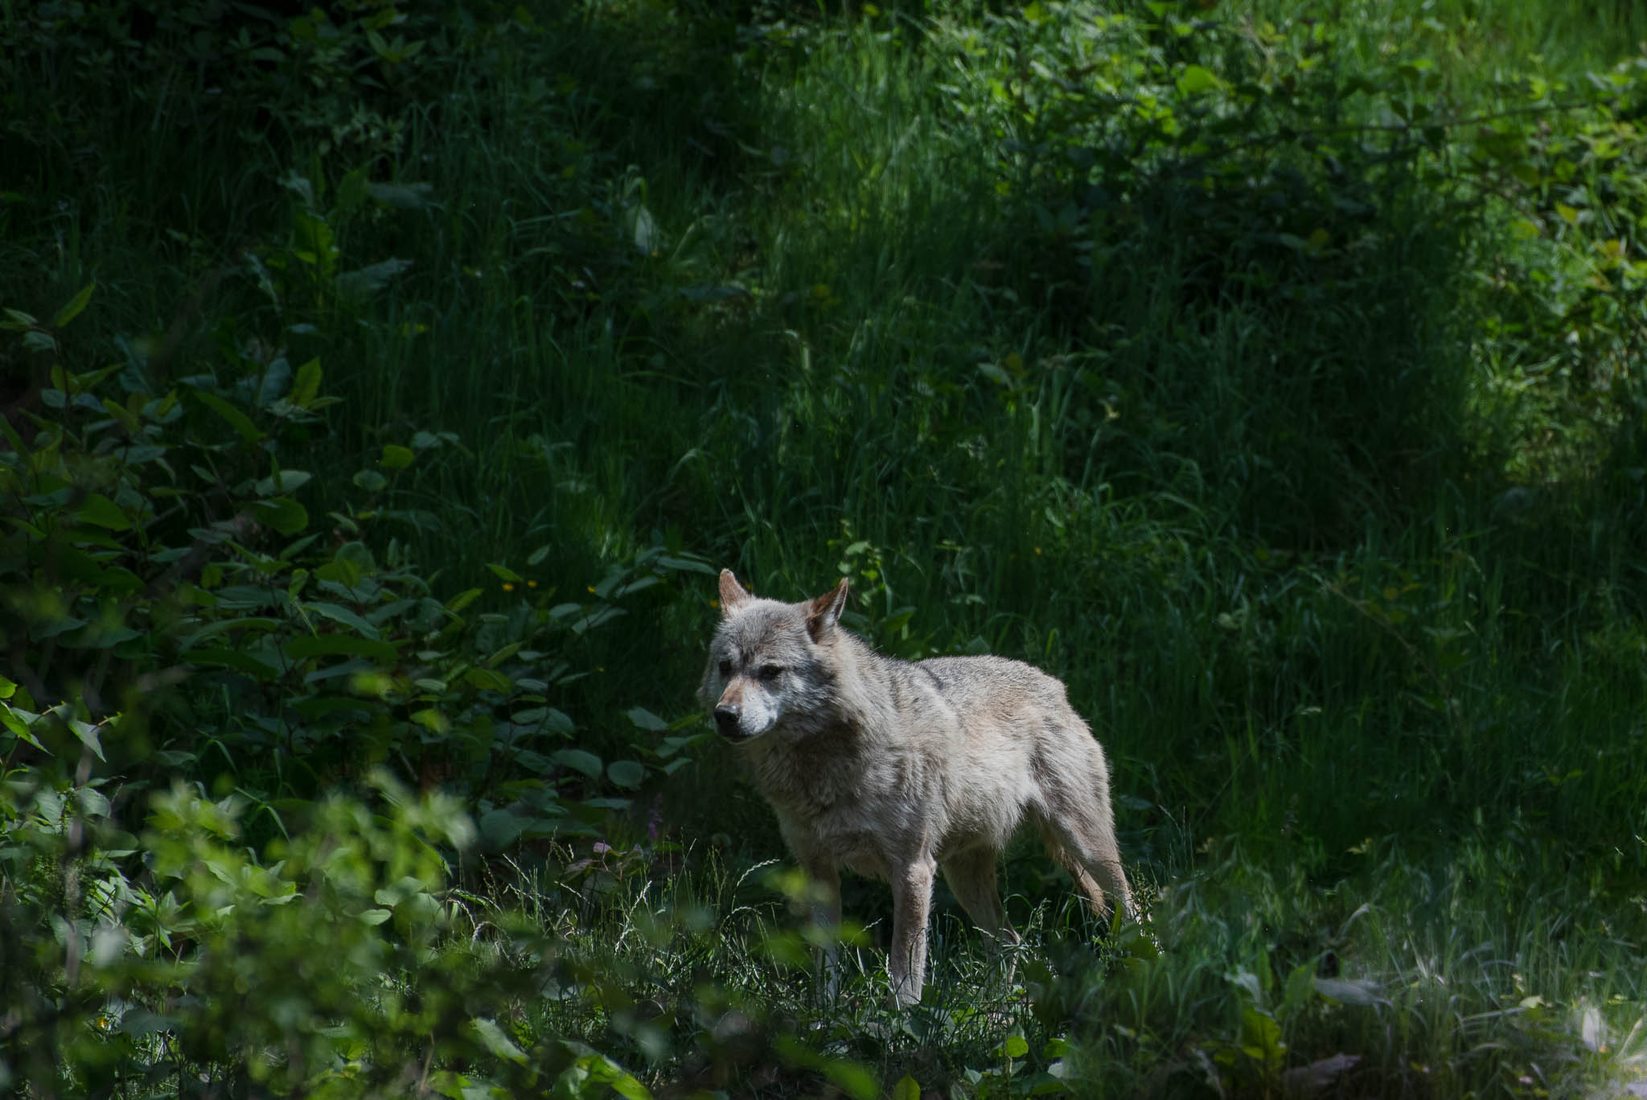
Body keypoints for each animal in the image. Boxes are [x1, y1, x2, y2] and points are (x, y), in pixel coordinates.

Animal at [700, 569, 1134, 1006]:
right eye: (726, 667)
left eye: (771, 671)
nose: (725, 715)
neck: (825, 767)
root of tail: (1055, 686)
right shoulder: (817, 870)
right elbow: (825, 964)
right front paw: (823, 1014)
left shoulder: (912, 871)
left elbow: (904, 970)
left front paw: (898, 1021)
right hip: (966, 877)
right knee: (1010, 941)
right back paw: (997, 1012)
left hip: (1088, 849)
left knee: (1131, 910)